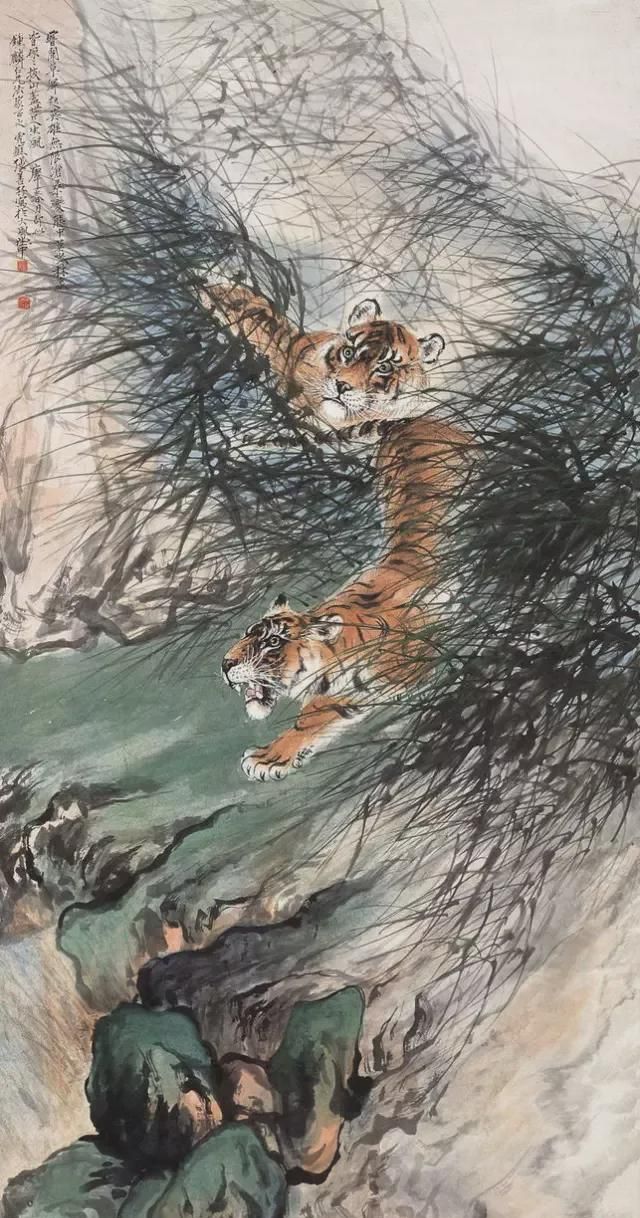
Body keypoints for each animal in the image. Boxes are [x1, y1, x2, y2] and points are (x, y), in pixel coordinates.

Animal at [222, 417, 470, 780]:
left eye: (272, 643)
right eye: (245, 635)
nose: (225, 665)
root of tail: (412, 420)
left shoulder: (402, 664)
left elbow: (317, 713)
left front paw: (267, 758)